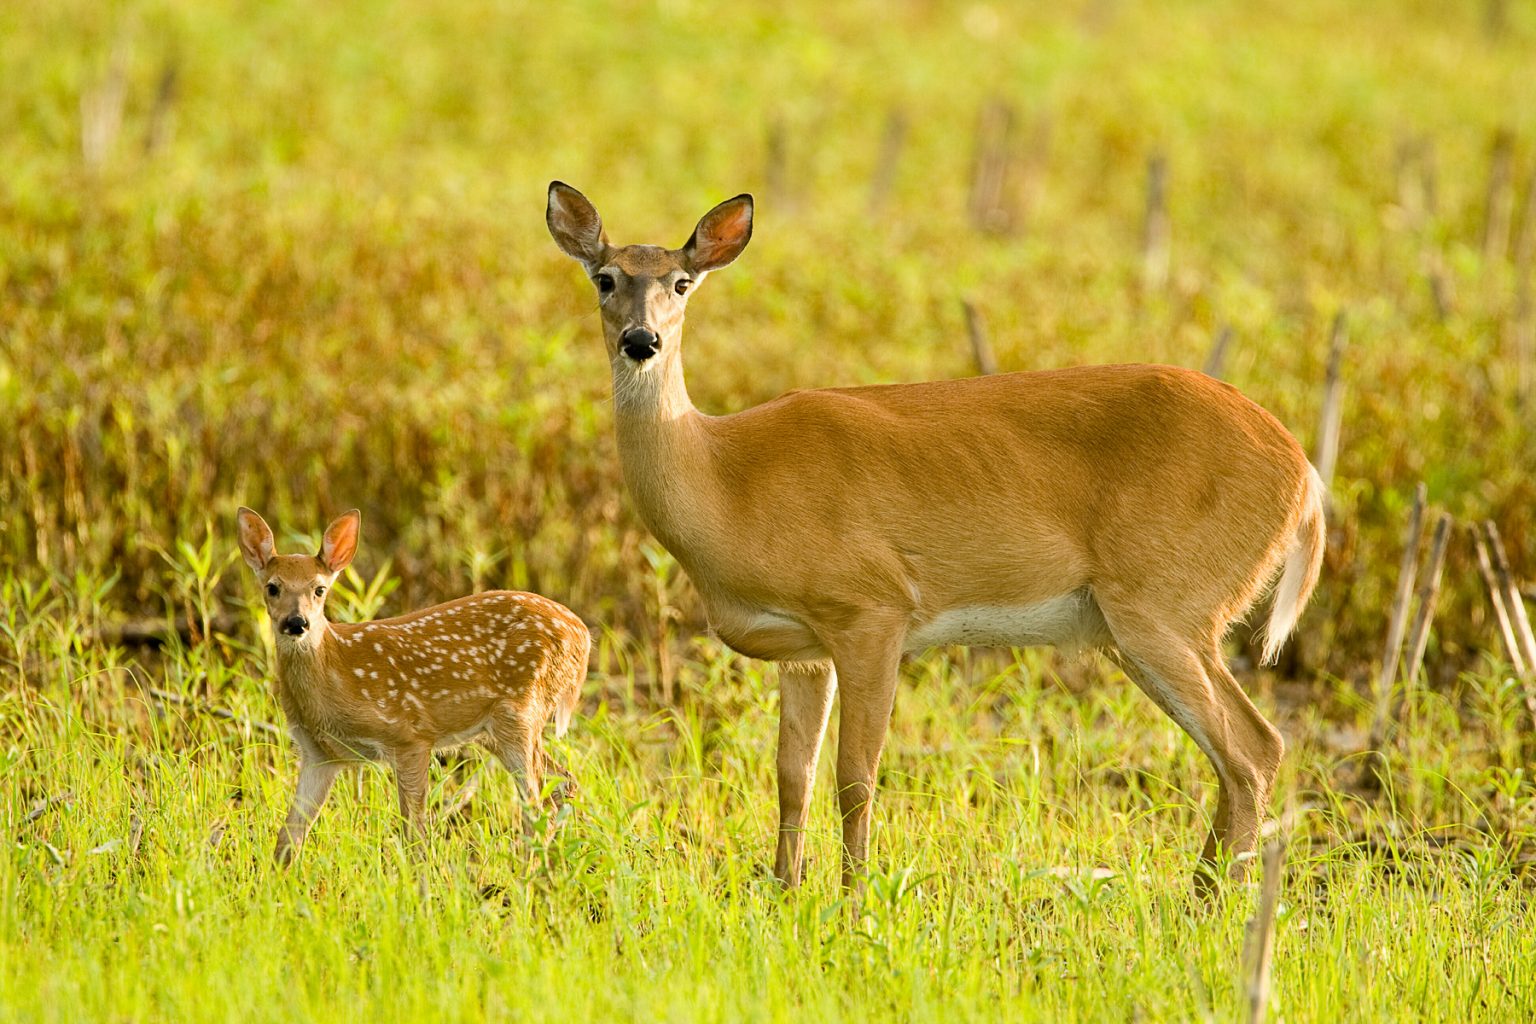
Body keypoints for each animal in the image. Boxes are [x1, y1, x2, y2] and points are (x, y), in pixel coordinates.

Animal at [236, 507, 590, 864]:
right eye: (272, 587)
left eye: (319, 589)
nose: (297, 622)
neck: (336, 675)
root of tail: (582, 633)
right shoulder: (319, 753)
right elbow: (288, 837)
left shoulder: (409, 735)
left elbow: (415, 834)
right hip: (497, 730)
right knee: (563, 783)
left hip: (519, 712)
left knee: (537, 806)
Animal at [545, 181, 1326, 893]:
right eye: (604, 277)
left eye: (681, 282)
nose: (640, 341)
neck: (725, 479)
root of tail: (1304, 475)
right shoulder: (804, 648)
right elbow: (793, 774)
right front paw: (786, 890)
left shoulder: (871, 608)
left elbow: (855, 775)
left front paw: (855, 899)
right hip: (1140, 624)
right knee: (1241, 756)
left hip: (1166, 602)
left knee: (1255, 748)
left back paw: (1209, 906)